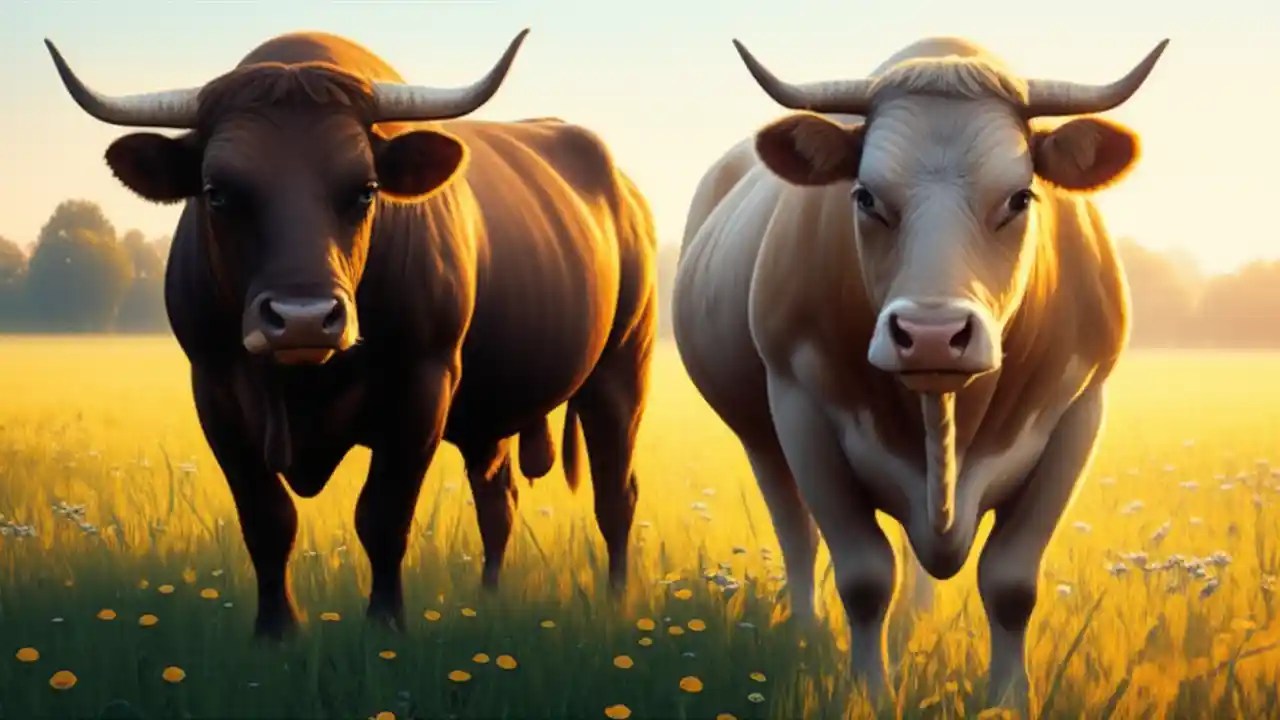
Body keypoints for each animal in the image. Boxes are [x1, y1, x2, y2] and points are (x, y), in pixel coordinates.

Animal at [46, 30, 657, 639]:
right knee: (497, 498)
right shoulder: (215, 389)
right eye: (216, 192)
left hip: (623, 368)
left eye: (366, 191)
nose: (303, 318)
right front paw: (276, 630)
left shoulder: (422, 386)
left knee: (615, 494)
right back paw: (489, 599)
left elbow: (382, 516)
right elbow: (267, 519)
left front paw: (384, 625)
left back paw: (617, 601)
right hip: (492, 413)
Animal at [673, 36, 1167, 708]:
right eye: (864, 196)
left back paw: (917, 618)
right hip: (760, 436)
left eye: (1020, 198)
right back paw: (806, 632)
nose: (932, 335)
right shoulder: (801, 409)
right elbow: (862, 576)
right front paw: (869, 694)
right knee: (796, 534)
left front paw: (1008, 702)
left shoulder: (1078, 413)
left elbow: (1011, 582)